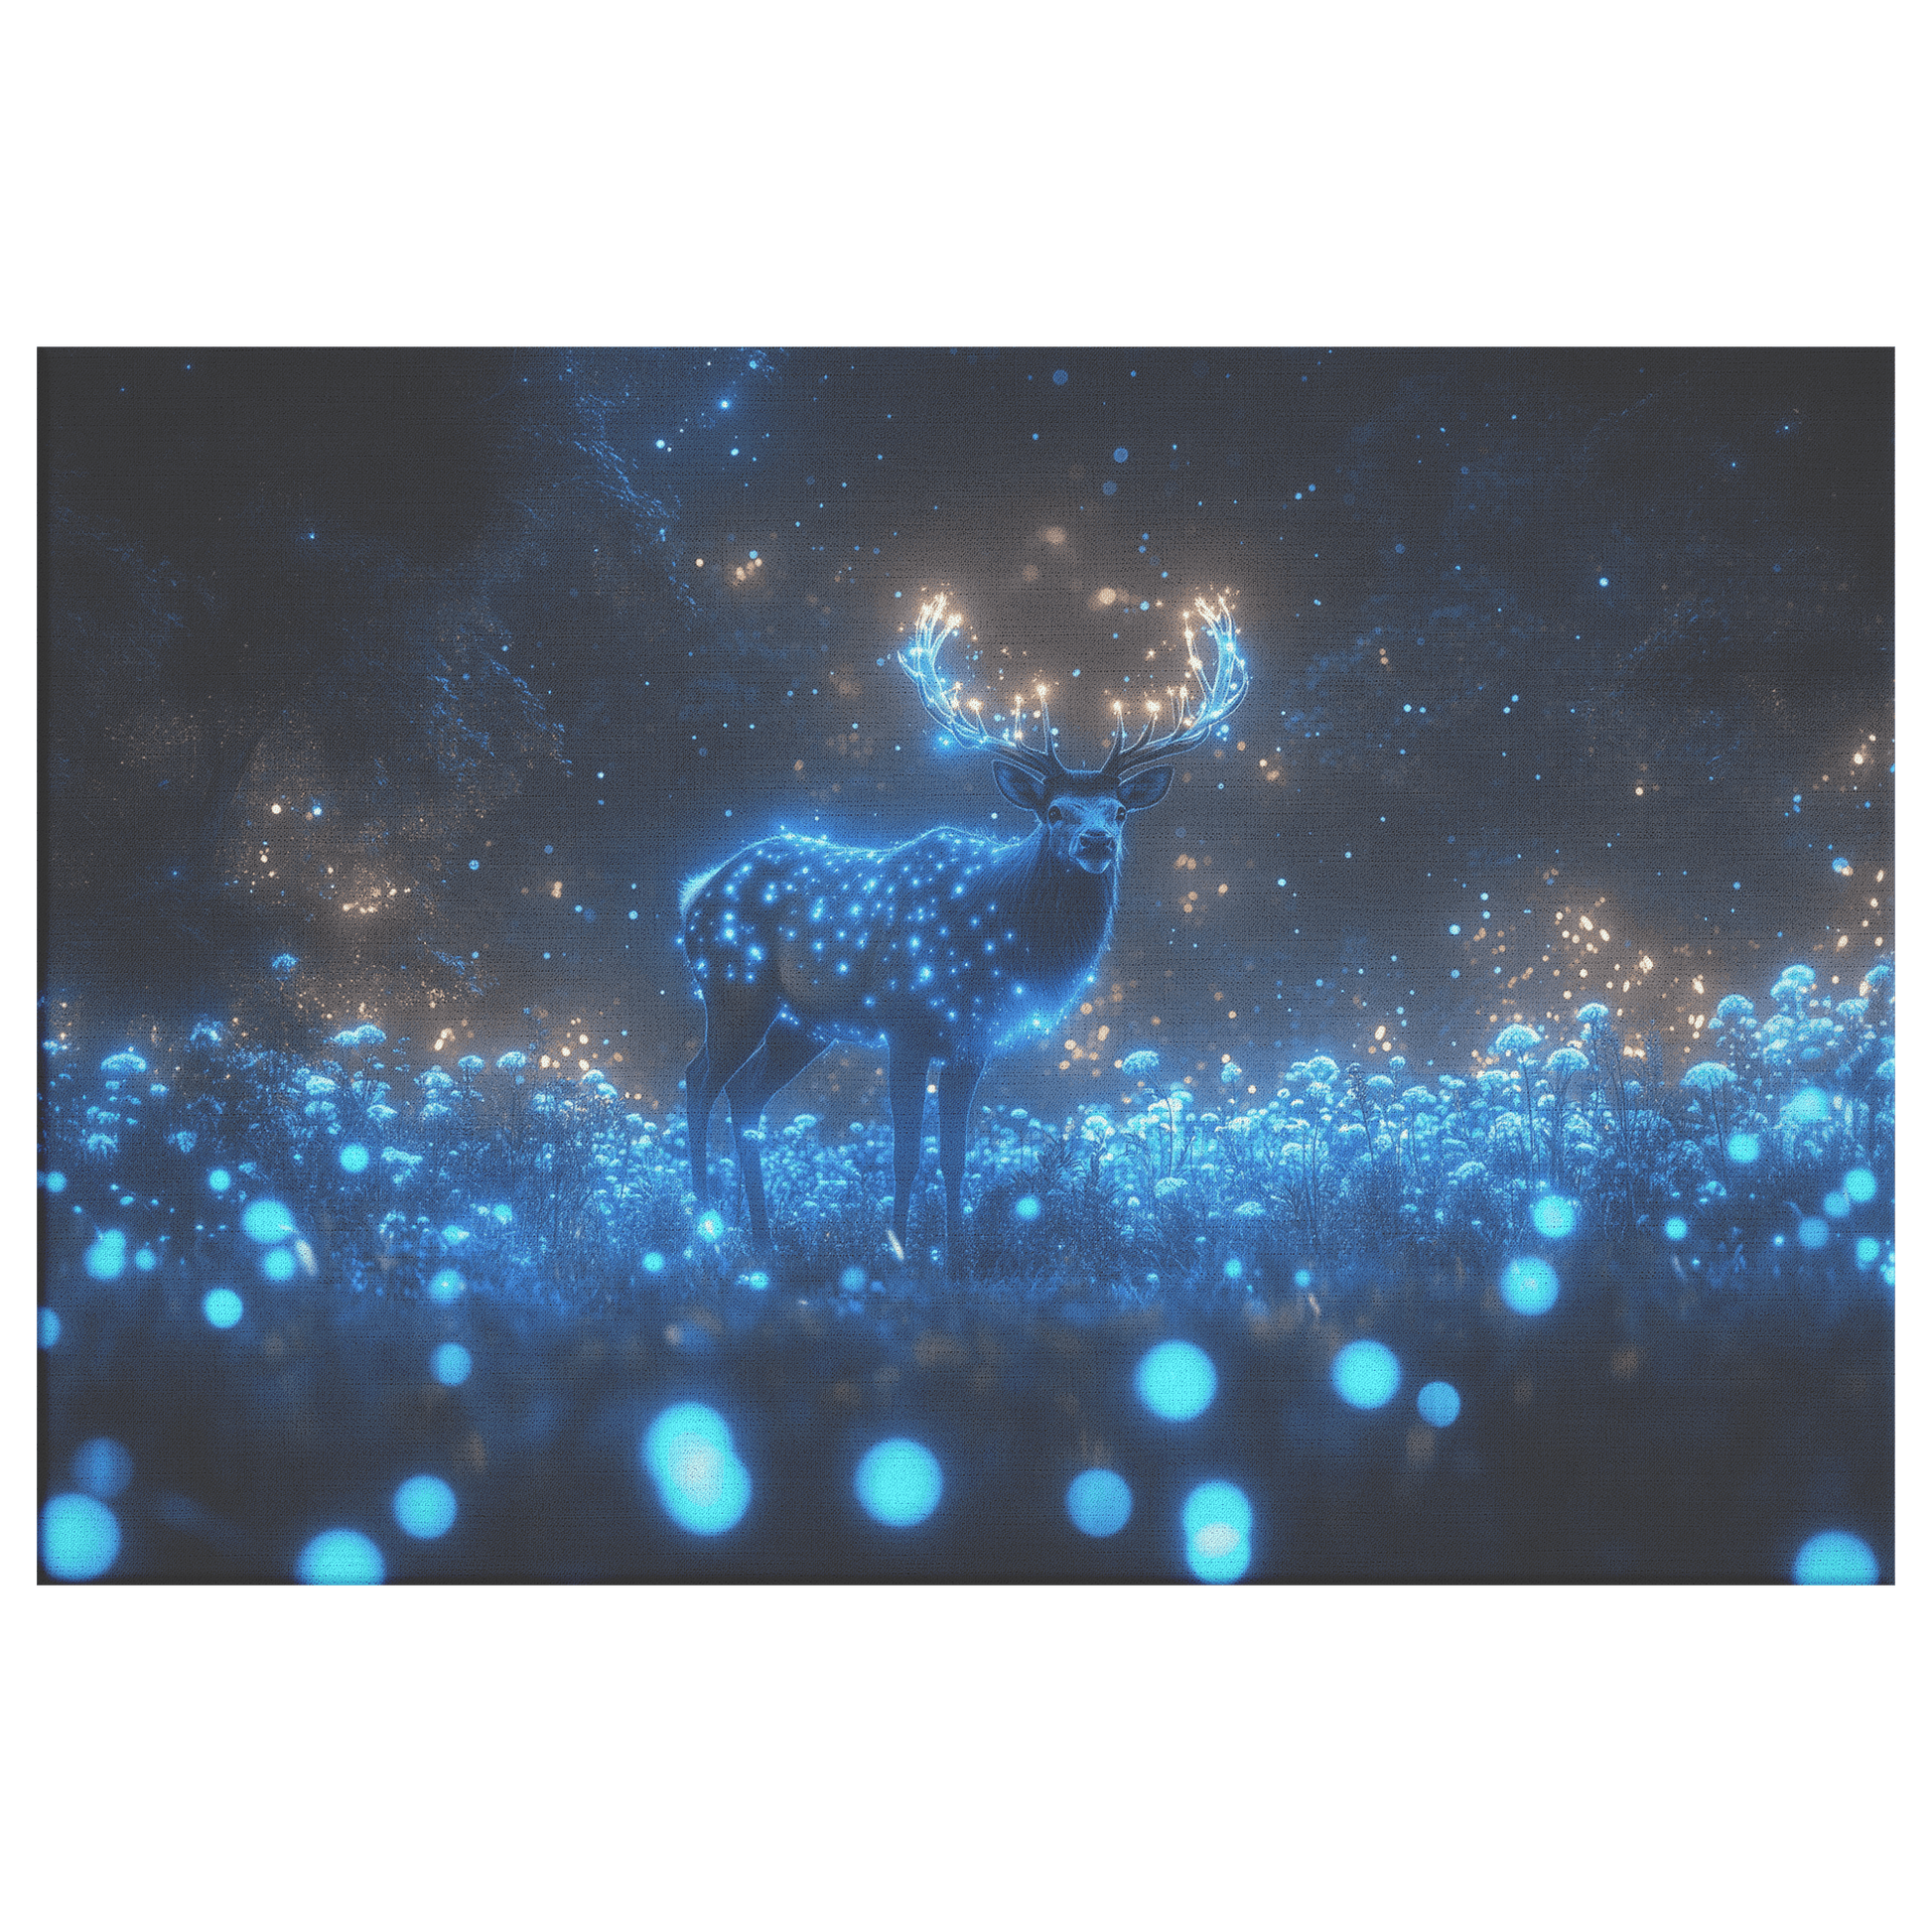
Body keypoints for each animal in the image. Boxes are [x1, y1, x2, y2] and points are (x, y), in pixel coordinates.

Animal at [678, 593, 1249, 1281]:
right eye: (1054, 811)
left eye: (1117, 810)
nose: (1097, 842)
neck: (996, 942)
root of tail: (695, 892)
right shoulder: (906, 1023)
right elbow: (905, 1147)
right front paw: (897, 1253)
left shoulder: (974, 1039)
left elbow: (955, 1150)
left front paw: (956, 1258)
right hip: (735, 990)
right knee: (700, 1078)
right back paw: (706, 1227)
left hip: (803, 1024)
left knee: (746, 1092)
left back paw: (762, 1239)